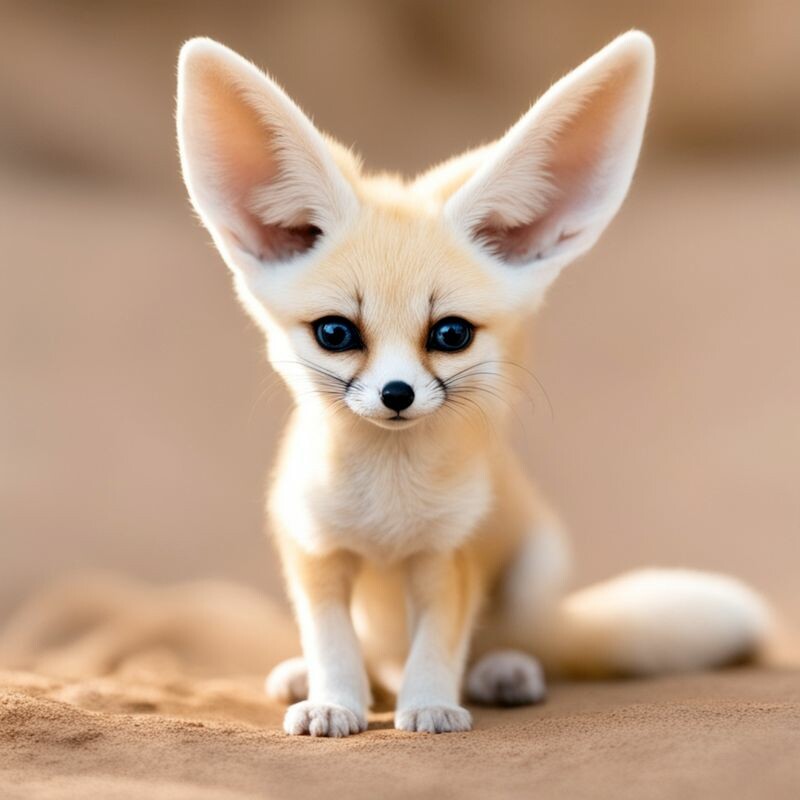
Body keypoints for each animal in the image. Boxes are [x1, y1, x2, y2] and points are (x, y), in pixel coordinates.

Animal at [176, 31, 771, 737]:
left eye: (451, 334)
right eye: (336, 334)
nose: (397, 395)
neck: (388, 507)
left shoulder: (451, 557)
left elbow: (438, 643)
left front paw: (430, 703)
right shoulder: (316, 550)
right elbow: (332, 643)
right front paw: (335, 702)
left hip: (538, 562)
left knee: (519, 643)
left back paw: (502, 671)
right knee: (376, 656)